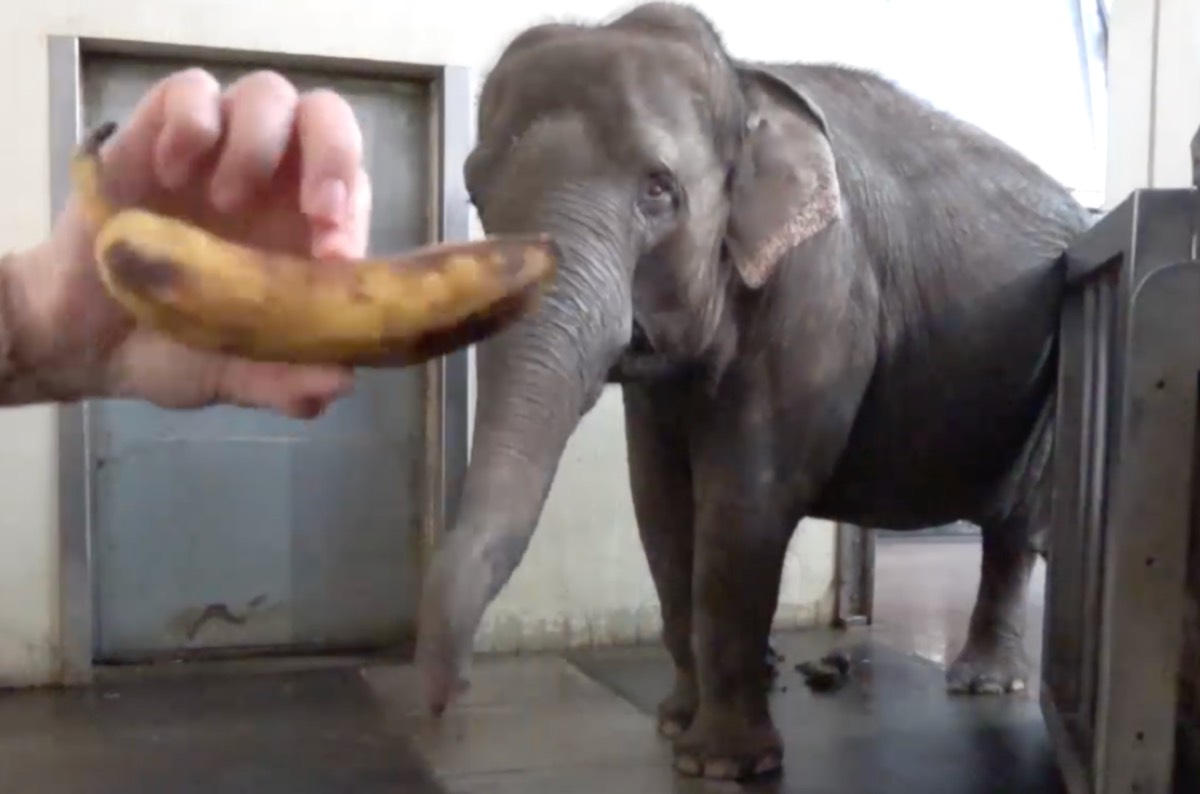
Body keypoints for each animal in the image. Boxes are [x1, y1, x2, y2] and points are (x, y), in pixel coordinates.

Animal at [414, 1, 1092, 781]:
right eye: (475, 191)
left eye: (658, 189)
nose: (448, 700)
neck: (743, 86)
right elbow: (660, 500)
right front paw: (674, 725)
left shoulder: (819, 287)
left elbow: (745, 497)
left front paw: (723, 765)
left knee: (1016, 522)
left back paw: (983, 684)